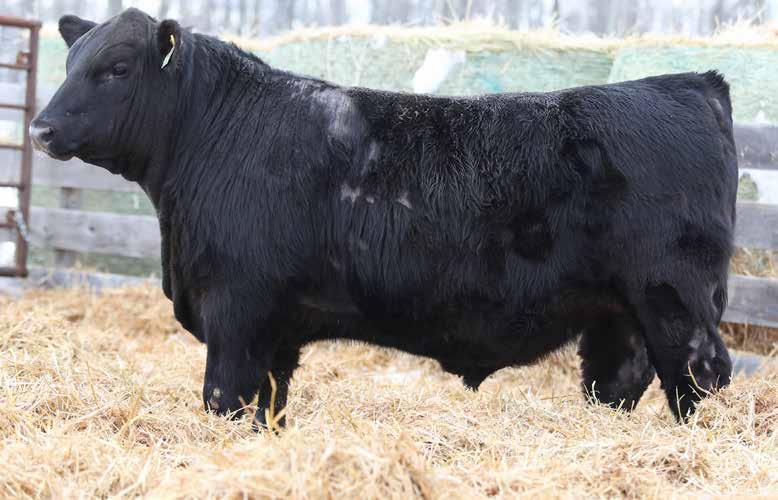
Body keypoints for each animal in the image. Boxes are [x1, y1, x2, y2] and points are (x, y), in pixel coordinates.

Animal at [31, 8, 738, 427]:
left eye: (116, 68)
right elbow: (269, 405)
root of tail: (691, 83)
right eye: (70, 63)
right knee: (618, 381)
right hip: (617, 311)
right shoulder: (275, 330)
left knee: (700, 375)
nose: (39, 128)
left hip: (675, 296)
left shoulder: (237, 309)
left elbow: (225, 397)